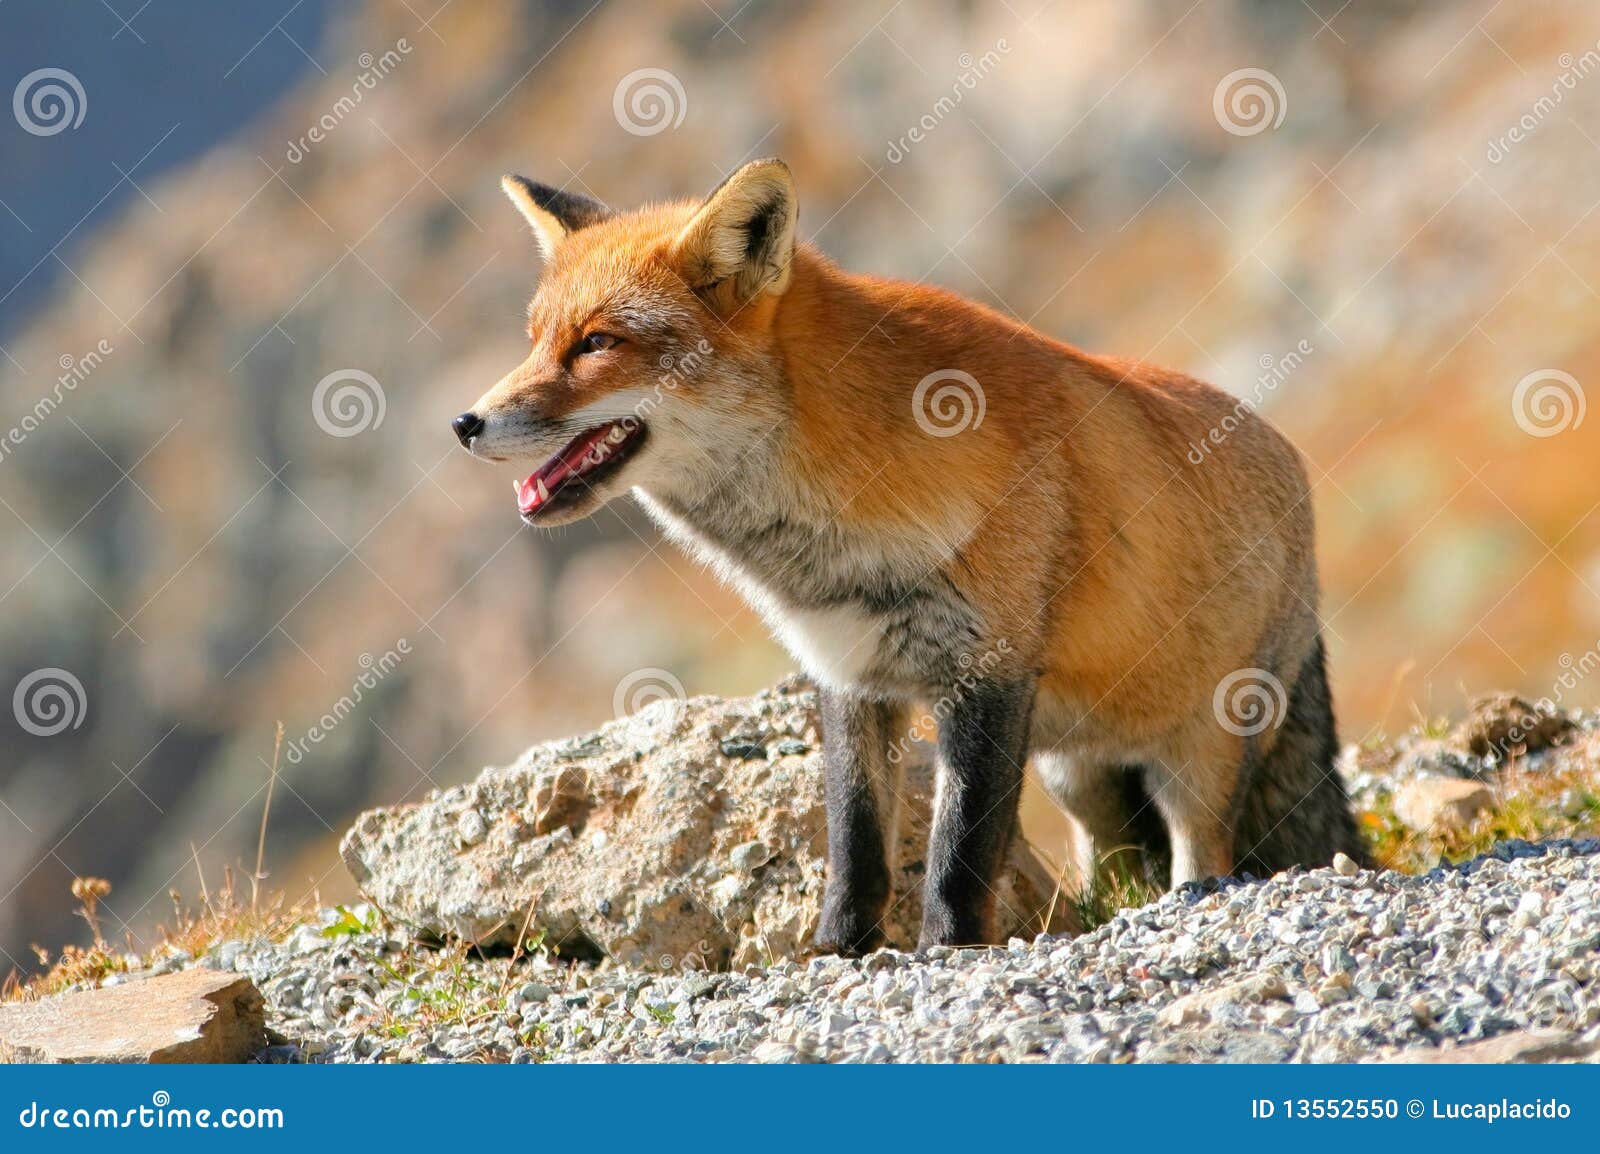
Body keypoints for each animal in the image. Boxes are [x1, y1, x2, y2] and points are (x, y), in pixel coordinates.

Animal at [451, 157, 1366, 954]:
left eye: (597, 343)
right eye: (534, 340)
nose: (464, 422)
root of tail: (1295, 472)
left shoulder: (990, 675)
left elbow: (960, 851)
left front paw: (945, 951)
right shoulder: (847, 674)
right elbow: (855, 847)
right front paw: (837, 952)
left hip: (1197, 759)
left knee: (1202, 855)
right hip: (1080, 775)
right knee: (1110, 870)